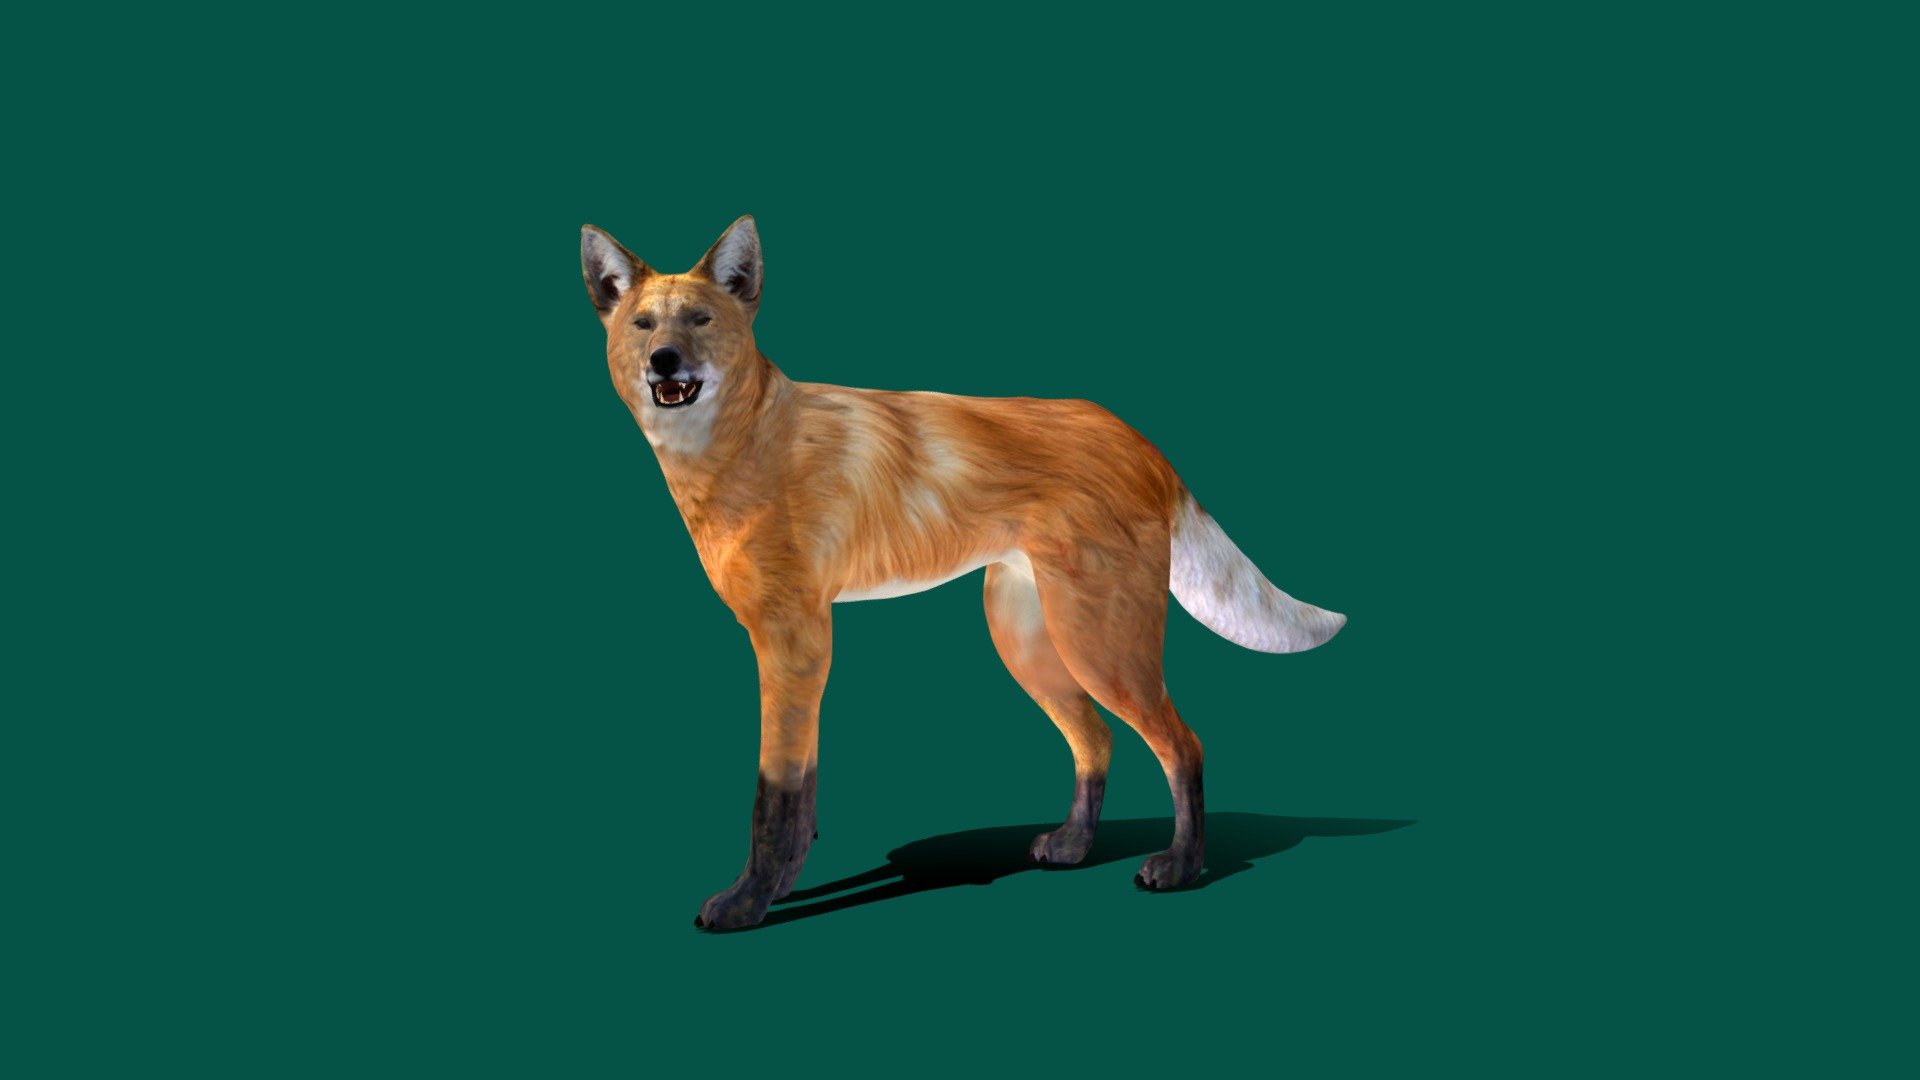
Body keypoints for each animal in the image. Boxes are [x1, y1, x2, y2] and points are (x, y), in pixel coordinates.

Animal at [582, 217, 1346, 929]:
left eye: (700, 320)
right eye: (644, 324)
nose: (663, 361)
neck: (744, 450)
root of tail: (1131, 433)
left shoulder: (793, 642)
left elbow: (775, 797)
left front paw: (749, 902)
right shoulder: (801, 649)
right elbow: (804, 795)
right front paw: (784, 886)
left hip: (1100, 648)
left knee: (1183, 746)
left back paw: (1181, 867)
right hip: (1030, 643)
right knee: (1096, 741)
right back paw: (1073, 845)